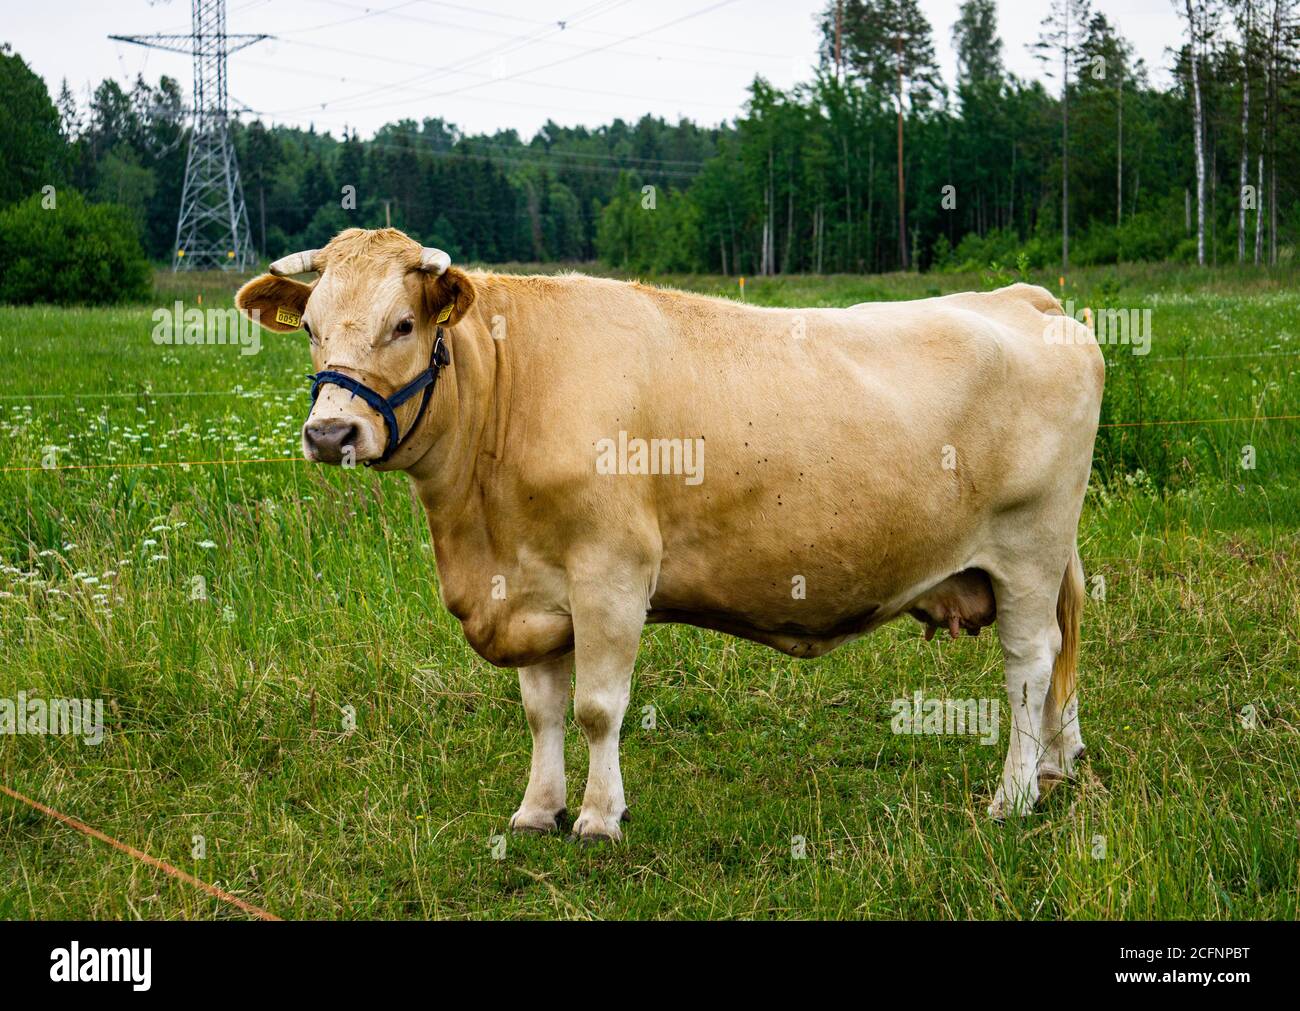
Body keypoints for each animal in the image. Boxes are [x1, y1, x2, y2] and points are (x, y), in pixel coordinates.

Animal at [235, 227, 1104, 842]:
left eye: (404, 323)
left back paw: (1013, 795)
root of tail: (1026, 298)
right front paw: (536, 810)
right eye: (310, 327)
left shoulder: (611, 570)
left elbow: (597, 706)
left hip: (1027, 547)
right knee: (1062, 651)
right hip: (1045, 555)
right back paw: (1056, 769)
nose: (330, 433)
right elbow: (542, 710)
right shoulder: (531, 587)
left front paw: (597, 817)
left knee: (1029, 666)